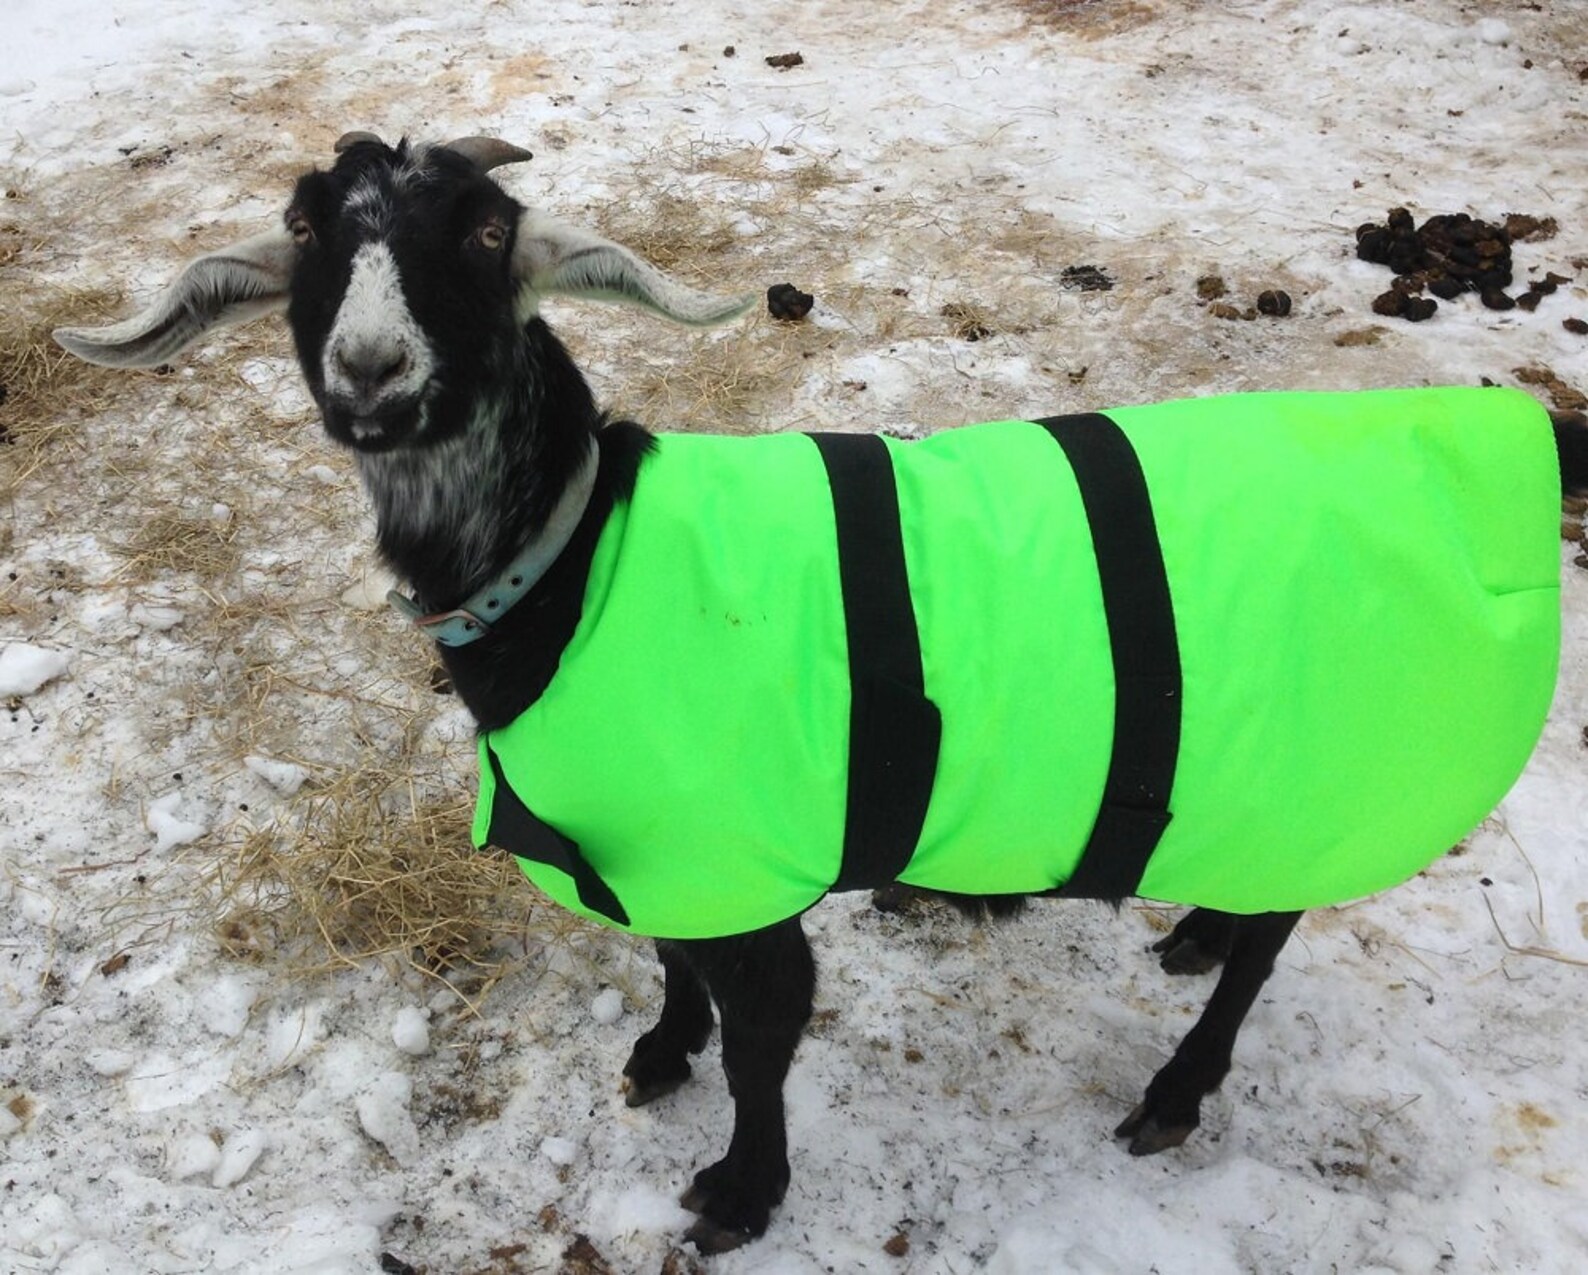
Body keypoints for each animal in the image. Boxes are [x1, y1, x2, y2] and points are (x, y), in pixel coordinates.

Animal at [56, 135, 1586, 1253]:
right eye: (310, 227)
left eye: (487, 232)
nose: (374, 374)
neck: (576, 562)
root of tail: (1502, 444)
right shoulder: (664, 848)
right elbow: (669, 966)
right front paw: (654, 1054)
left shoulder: (743, 864)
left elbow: (760, 1037)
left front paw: (739, 1195)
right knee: (1264, 899)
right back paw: (1198, 931)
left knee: (1274, 944)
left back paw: (1175, 1088)